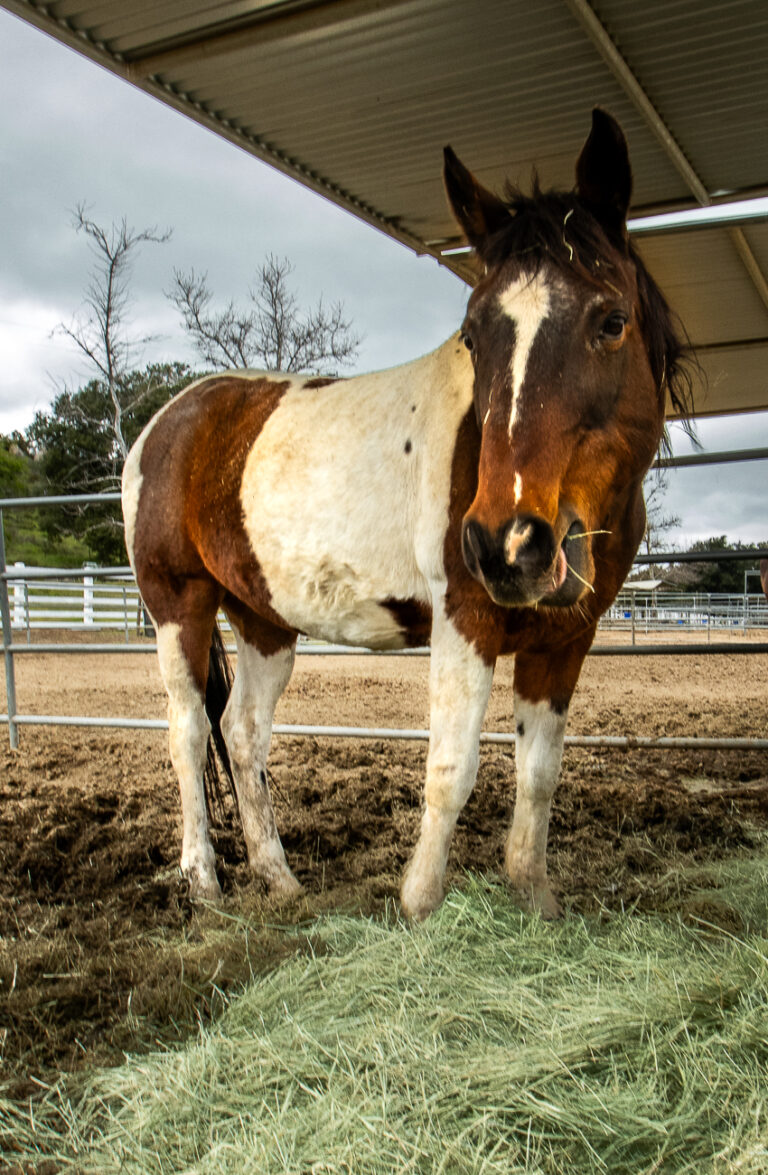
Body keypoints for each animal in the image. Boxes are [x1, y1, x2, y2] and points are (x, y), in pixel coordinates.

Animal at [123, 109, 690, 919]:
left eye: (611, 321)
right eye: (474, 334)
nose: (509, 544)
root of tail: (168, 419)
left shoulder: (565, 639)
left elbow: (539, 772)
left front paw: (535, 898)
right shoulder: (466, 620)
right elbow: (452, 768)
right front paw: (420, 902)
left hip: (262, 618)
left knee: (243, 733)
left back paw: (279, 878)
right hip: (180, 603)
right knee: (190, 731)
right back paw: (204, 880)